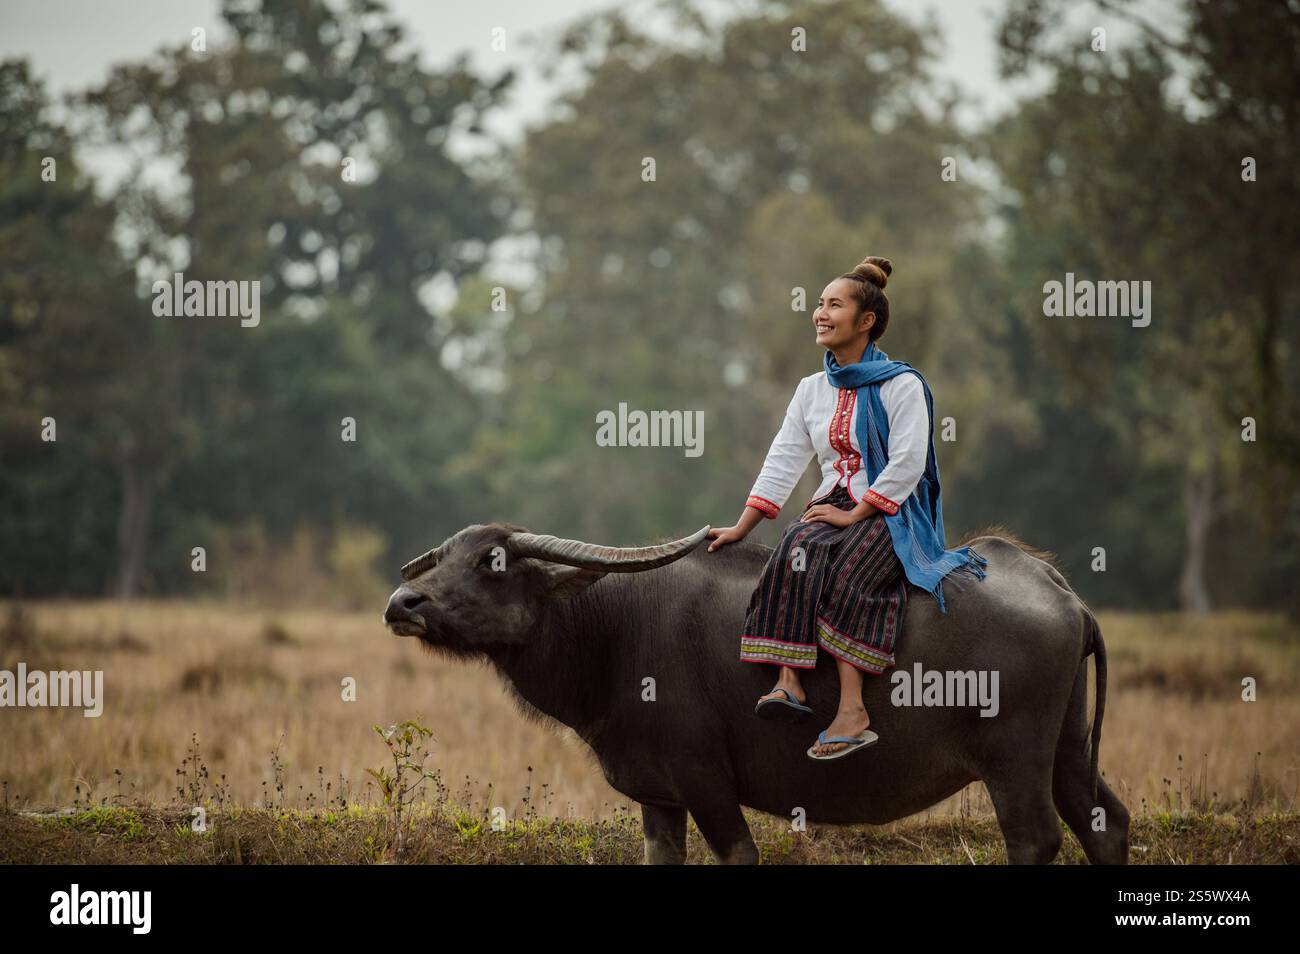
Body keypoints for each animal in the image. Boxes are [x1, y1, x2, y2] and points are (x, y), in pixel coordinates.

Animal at [383, 522, 1129, 864]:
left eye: (493, 562)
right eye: (444, 557)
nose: (402, 602)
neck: (617, 631)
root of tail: (1061, 592)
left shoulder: (706, 781)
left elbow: (741, 853)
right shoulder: (661, 798)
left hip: (1014, 761)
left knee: (1033, 839)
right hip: (1066, 751)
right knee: (1105, 823)